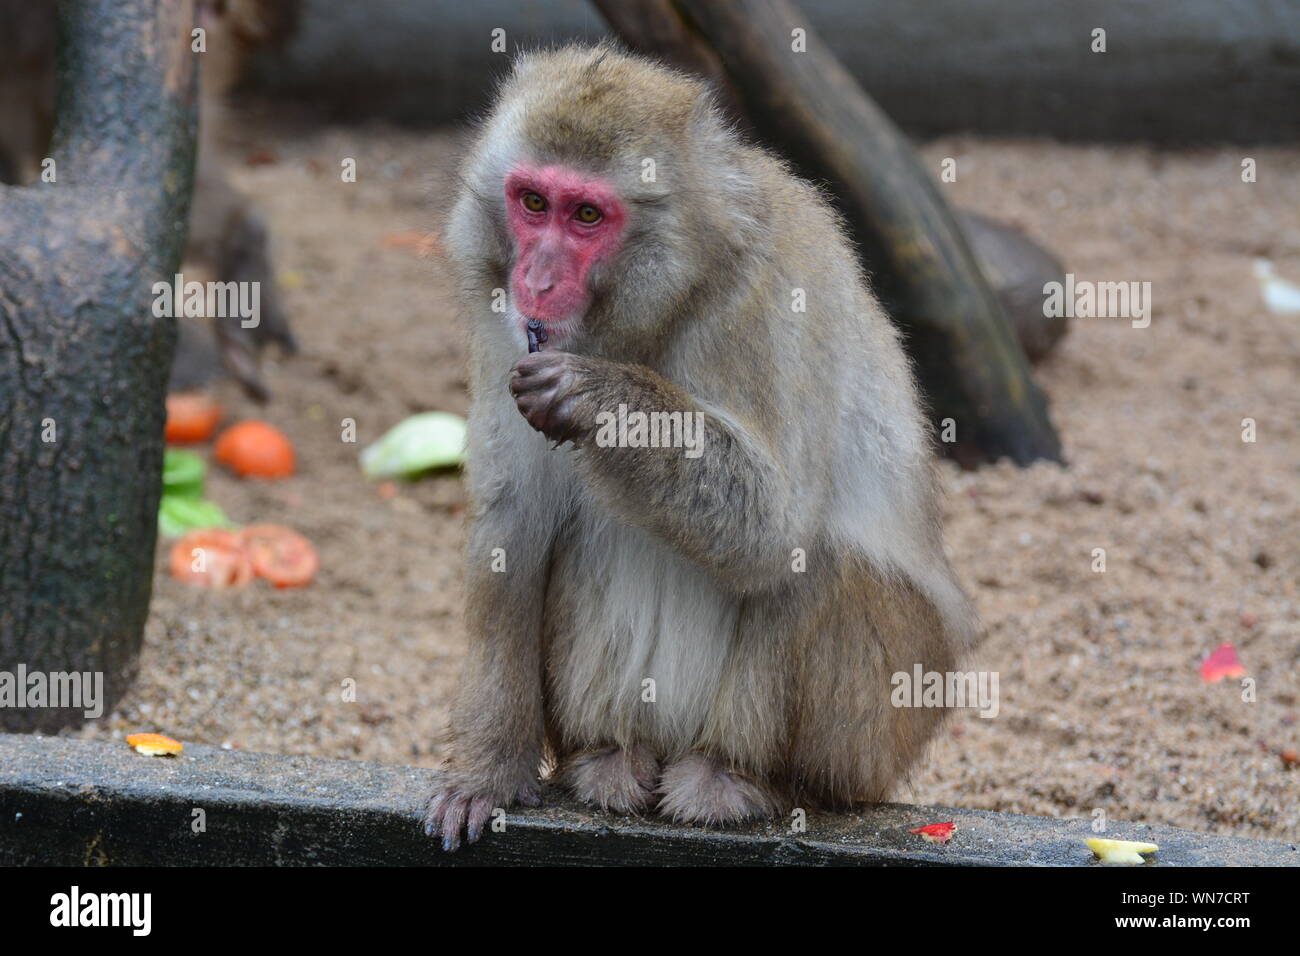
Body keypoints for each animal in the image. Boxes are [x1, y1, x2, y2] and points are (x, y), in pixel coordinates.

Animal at [424, 44, 978, 850]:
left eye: (586, 215)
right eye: (532, 203)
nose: (538, 278)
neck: (663, 303)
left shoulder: (765, 299)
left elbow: (773, 527)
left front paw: (599, 398)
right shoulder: (507, 329)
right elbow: (512, 528)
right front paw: (486, 772)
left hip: (885, 726)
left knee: (812, 562)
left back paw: (746, 778)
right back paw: (611, 756)